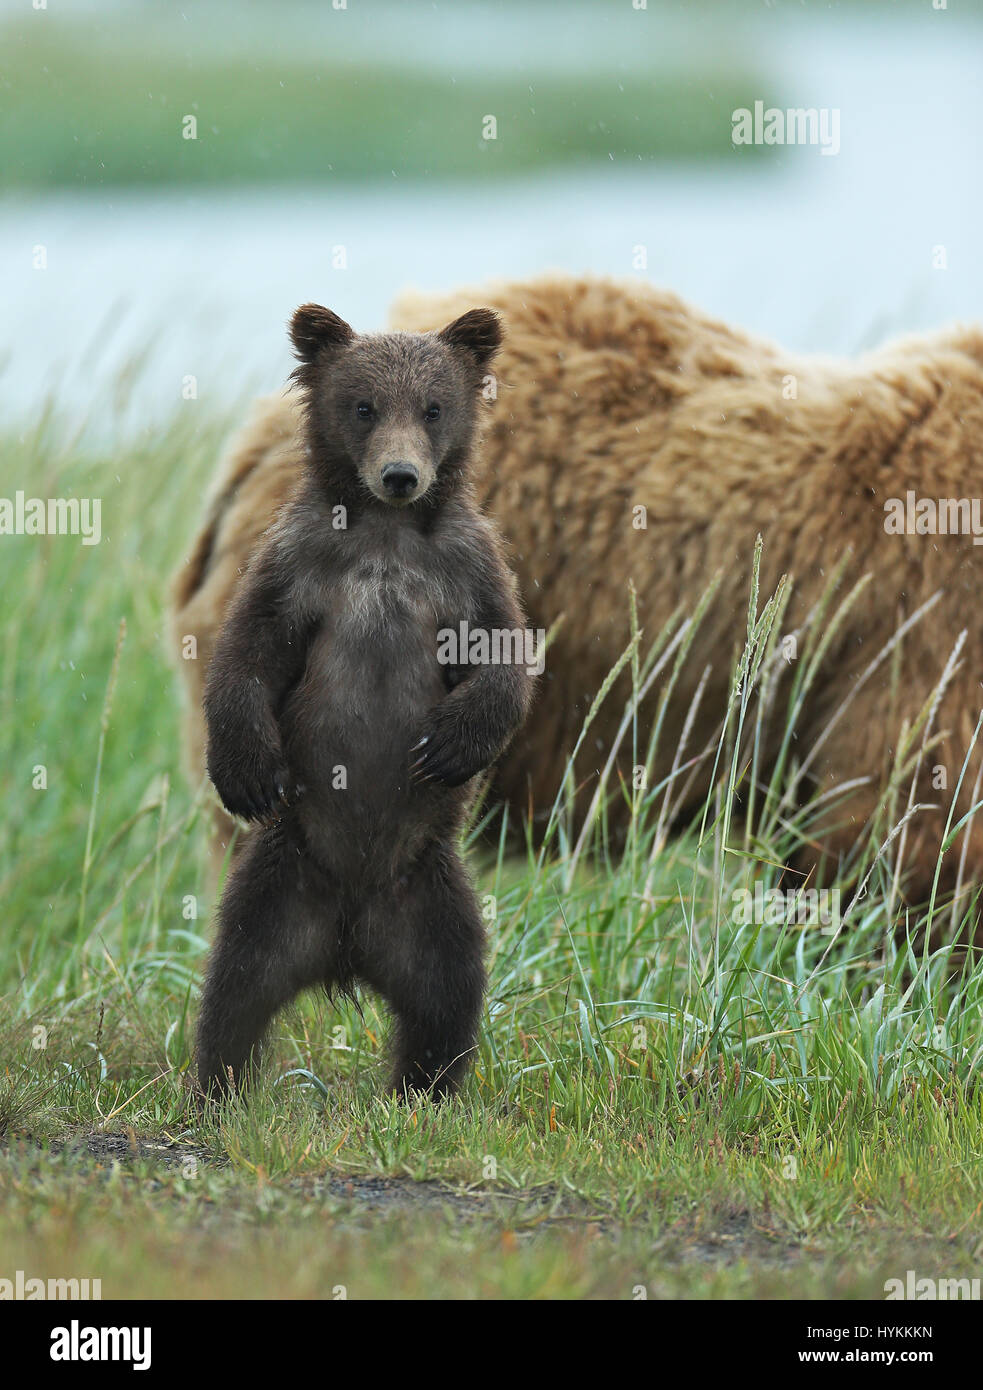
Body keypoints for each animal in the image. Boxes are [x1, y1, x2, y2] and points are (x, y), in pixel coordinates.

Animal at [194, 302, 533, 1099]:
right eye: (364, 405)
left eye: (433, 407)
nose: (400, 475)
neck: (384, 534)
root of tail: (347, 946)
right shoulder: (296, 563)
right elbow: (247, 655)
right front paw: (246, 772)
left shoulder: (466, 569)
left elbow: (503, 661)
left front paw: (448, 744)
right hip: (280, 881)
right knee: (236, 984)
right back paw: (215, 1087)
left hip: (431, 890)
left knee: (447, 993)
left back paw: (424, 1091)